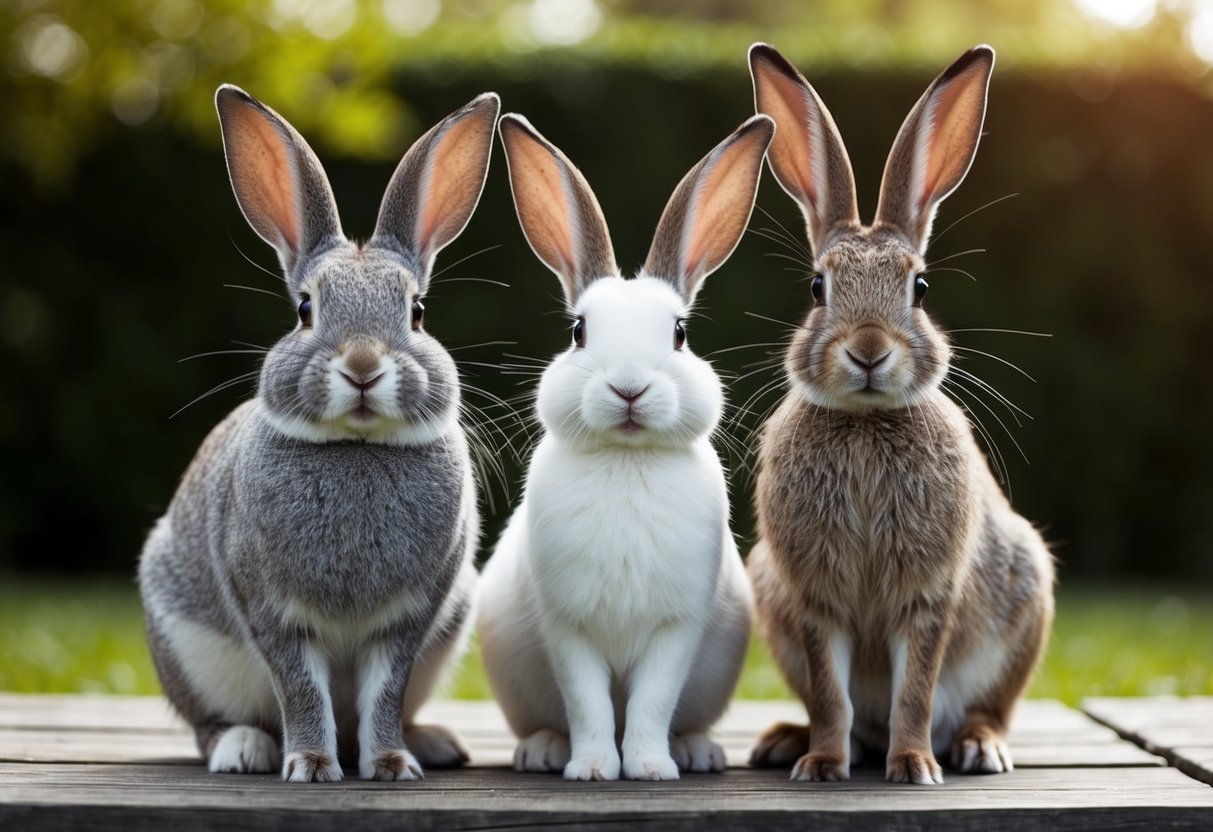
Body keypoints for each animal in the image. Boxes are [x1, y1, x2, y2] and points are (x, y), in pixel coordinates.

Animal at [137, 84, 500, 782]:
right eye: (305, 309)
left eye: (417, 312)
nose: (362, 367)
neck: (355, 448)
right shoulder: (270, 611)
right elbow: (301, 688)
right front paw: (308, 763)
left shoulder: (410, 620)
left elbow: (385, 694)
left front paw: (390, 764)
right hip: (186, 646)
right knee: (208, 724)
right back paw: (244, 750)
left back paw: (430, 743)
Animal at [476, 112, 774, 781]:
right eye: (579, 331)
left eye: (680, 333)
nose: (629, 387)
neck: (626, 458)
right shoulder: (569, 629)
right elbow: (587, 702)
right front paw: (590, 768)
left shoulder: (676, 629)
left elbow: (650, 703)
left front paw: (649, 767)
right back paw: (542, 751)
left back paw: (696, 752)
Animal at [744, 43, 1055, 785]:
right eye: (817, 287)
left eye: (919, 287)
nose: (867, 351)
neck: (864, 421)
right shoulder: (813, 600)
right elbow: (830, 694)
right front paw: (822, 765)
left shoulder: (928, 596)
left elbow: (915, 687)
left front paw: (912, 766)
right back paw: (788, 741)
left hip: (1026, 592)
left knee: (987, 708)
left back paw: (977, 748)